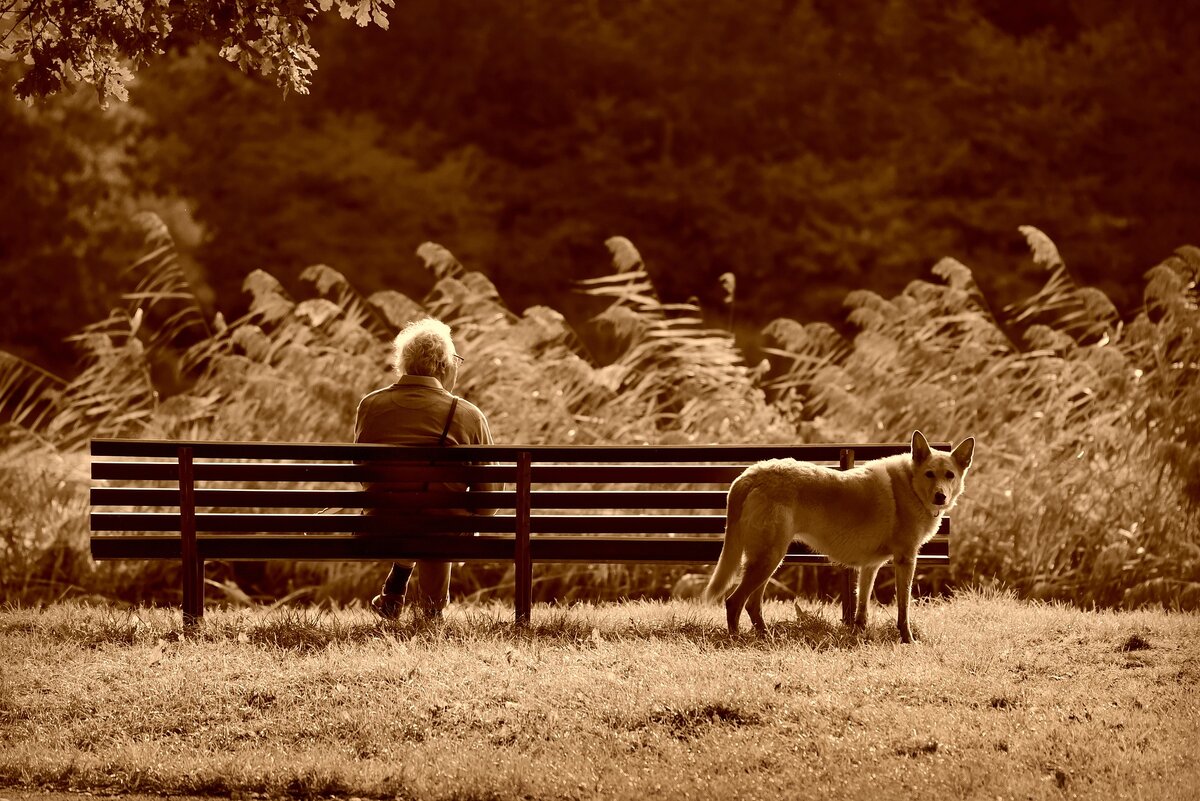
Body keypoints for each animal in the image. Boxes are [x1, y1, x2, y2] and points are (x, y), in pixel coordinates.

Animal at [700, 429, 974, 642]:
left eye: (949, 475)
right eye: (930, 474)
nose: (941, 496)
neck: (910, 485)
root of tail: (749, 474)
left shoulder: (870, 566)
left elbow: (862, 605)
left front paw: (859, 634)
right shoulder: (906, 561)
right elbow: (903, 610)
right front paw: (907, 640)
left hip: (769, 560)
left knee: (752, 604)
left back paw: (766, 637)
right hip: (768, 558)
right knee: (734, 602)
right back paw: (736, 639)